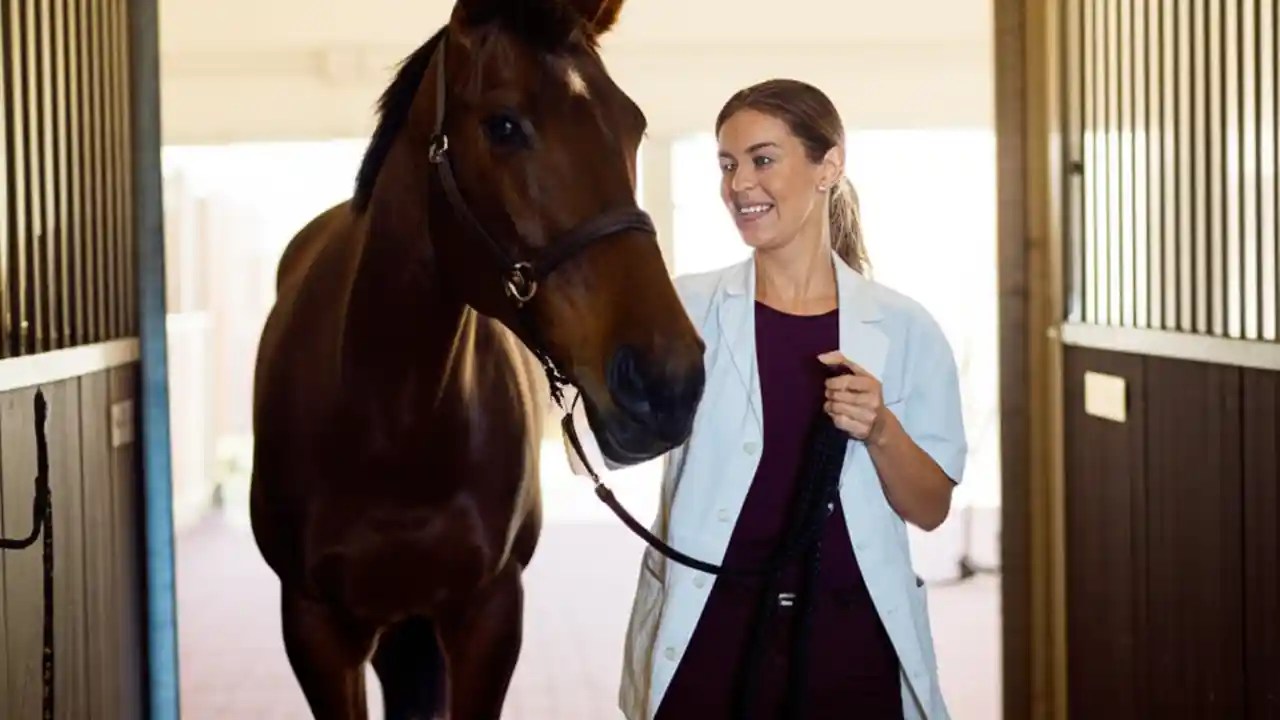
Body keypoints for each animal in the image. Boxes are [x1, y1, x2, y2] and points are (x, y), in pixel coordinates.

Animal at [247, 1, 707, 718]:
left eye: (633, 123)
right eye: (504, 125)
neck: (390, 426)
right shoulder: (314, 627)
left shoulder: (489, 615)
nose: (667, 382)